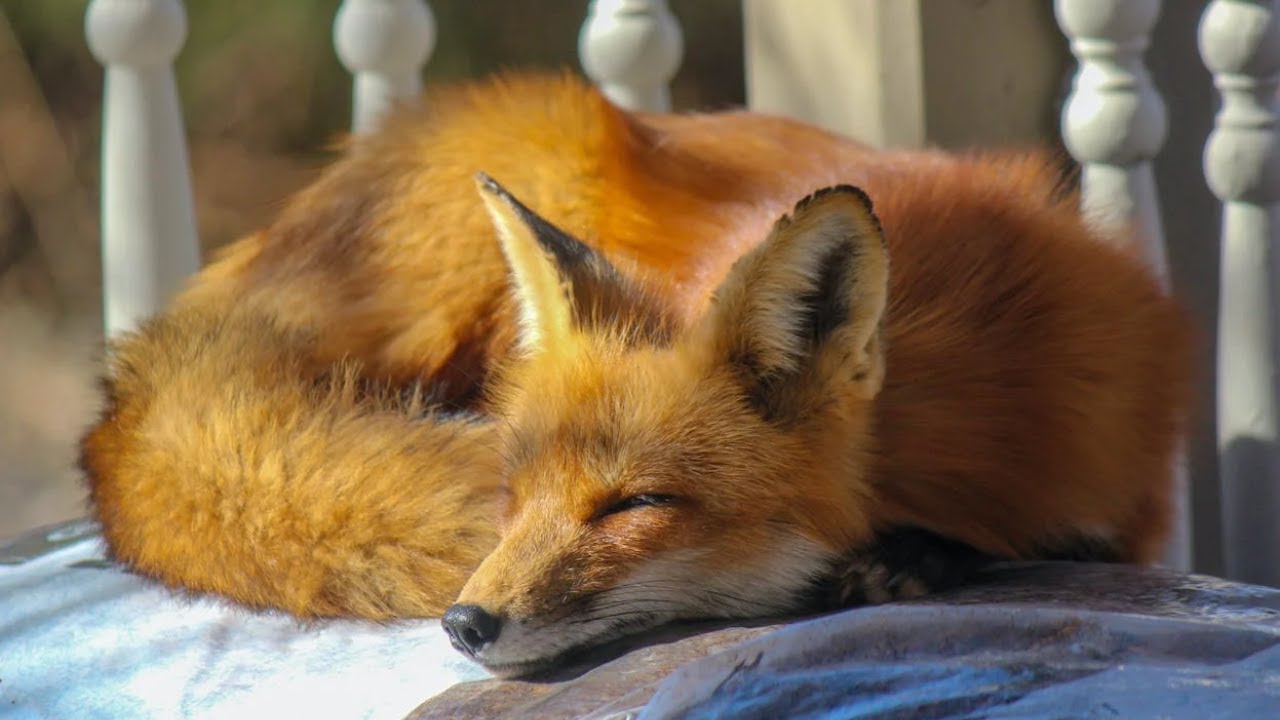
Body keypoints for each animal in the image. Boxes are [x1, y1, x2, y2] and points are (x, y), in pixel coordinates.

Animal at [80, 72, 1193, 677]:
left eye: (633, 505)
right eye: (514, 493)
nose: (462, 624)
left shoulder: (1121, 492)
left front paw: (919, 559)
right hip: (540, 151)